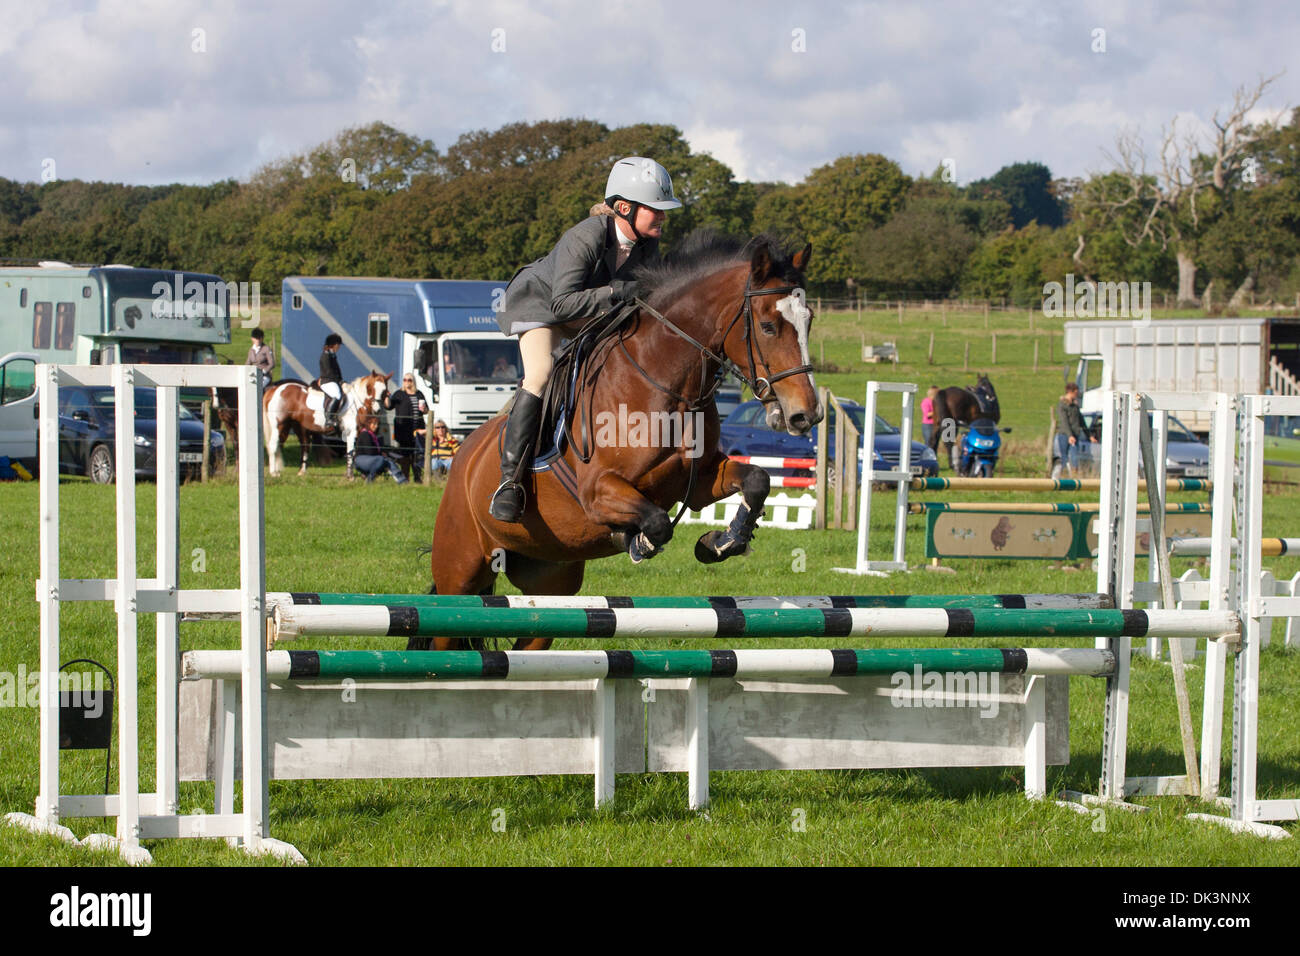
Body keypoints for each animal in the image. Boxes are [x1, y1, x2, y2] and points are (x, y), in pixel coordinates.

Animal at [262, 372, 392, 478]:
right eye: (370, 388)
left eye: (384, 390)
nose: (377, 410)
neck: (356, 402)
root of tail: (274, 389)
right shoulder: (351, 433)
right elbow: (351, 453)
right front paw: (350, 476)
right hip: (278, 426)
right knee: (273, 445)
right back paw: (274, 473)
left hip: (297, 426)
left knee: (303, 446)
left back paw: (300, 472)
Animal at [418, 233, 821, 651]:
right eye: (768, 327)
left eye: (808, 320)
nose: (805, 414)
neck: (665, 383)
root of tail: (463, 458)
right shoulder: (598, 490)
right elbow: (657, 522)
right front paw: (638, 541)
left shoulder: (697, 480)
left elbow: (757, 479)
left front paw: (720, 542)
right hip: (460, 571)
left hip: (550, 582)